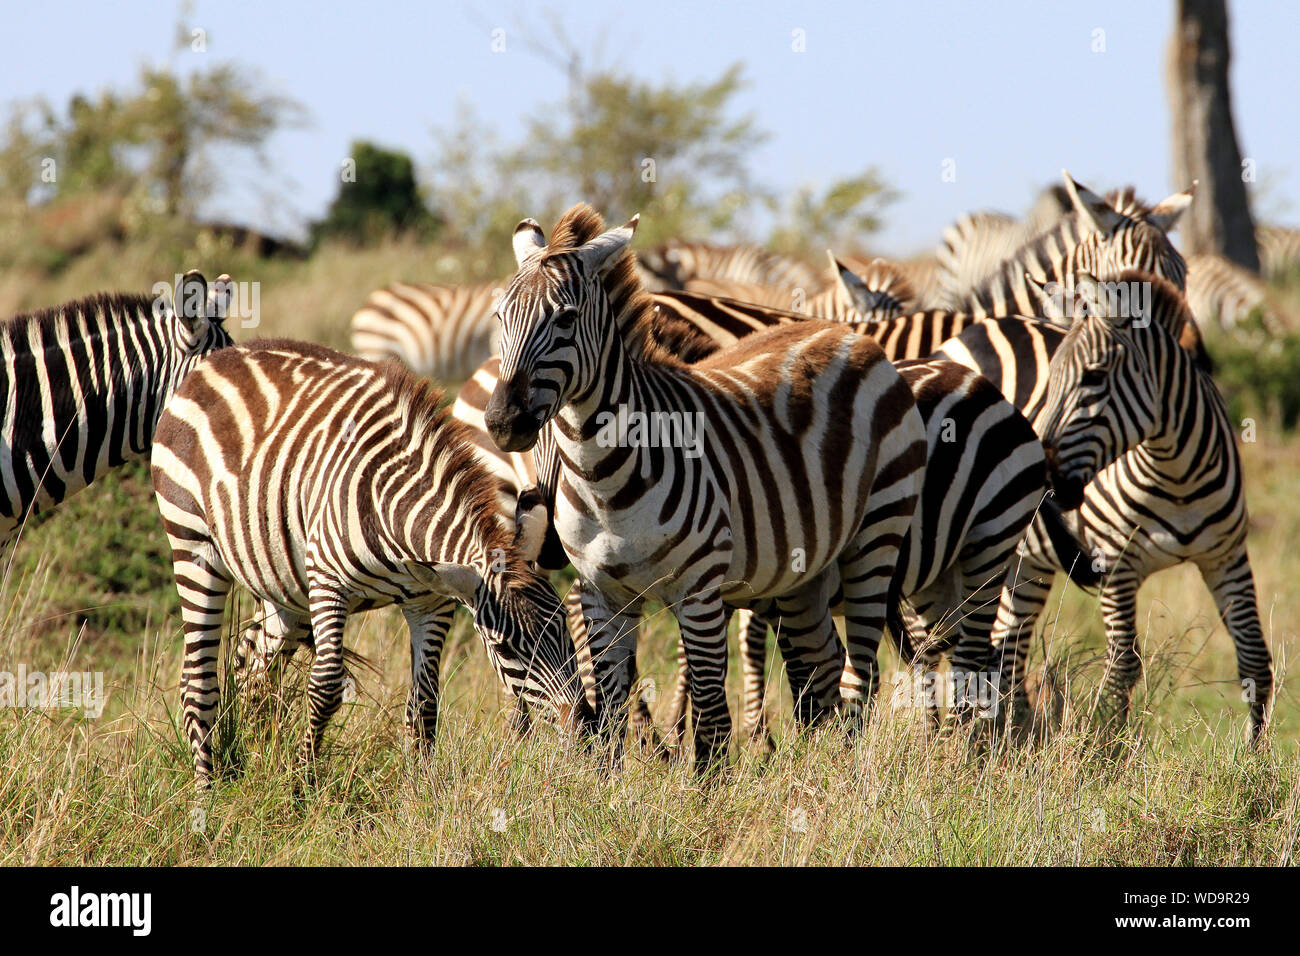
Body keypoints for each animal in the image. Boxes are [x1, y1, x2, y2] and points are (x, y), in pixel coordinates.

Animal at [150, 339, 594, 785]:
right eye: (506, 650)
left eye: (564, 627)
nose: (580, 732)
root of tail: (217, 359)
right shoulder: (328, 583)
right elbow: (326, 687)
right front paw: (303, 783)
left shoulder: (431, 602)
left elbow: (425, 700)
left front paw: (422, 786)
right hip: (194, 546)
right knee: (197, 681)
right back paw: (209, 788)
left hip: (284, 588)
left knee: (254, 671)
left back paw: (259, 760)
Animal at [484, 204, 929, 771]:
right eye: (500, 319)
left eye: (564, 318)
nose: (503, 423)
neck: (602, 483)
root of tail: (849, 334)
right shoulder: (601, 594)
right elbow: (610, 715)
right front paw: (604, 788)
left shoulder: (698, 591)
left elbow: (713, 719)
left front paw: (703, 788)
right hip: (804, 569)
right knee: (822, 667)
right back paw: (818, 767)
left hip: (877, 533)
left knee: (861, 676)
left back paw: (843, 776)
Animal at [983, 271, 1272, 739]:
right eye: (1051, 382)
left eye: (1094, 377)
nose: (1043, 481)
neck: (1176, 473)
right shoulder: (1115, 564)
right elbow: (1122, 667)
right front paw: (1106, 749)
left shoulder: (1227, 556)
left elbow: (1254, 661)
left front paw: (1253, 753)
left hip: (1026, 564)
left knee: (1007, 648)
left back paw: (1014, 734)